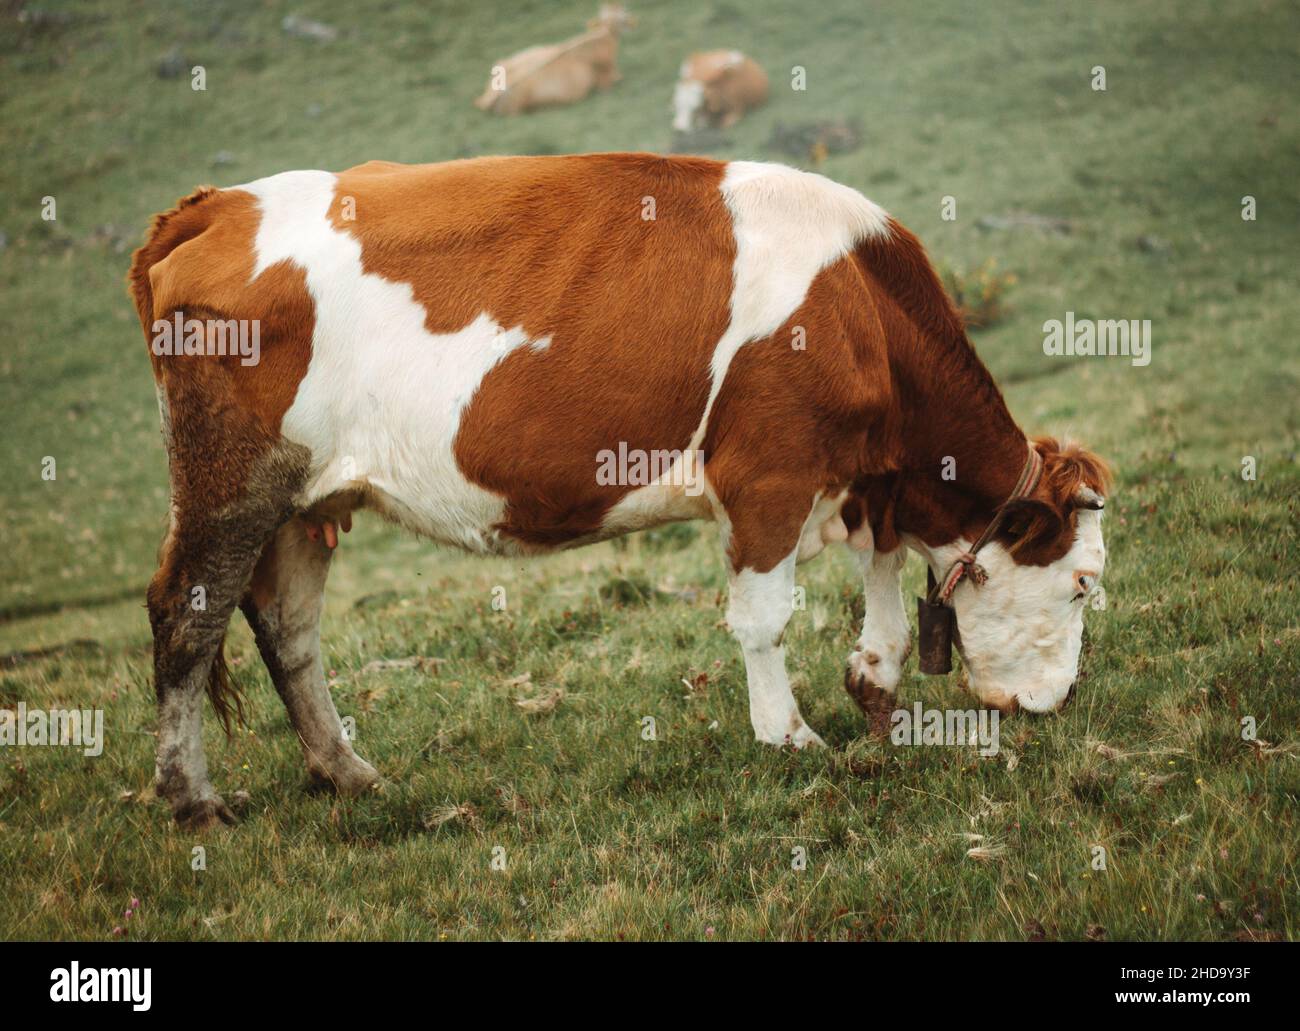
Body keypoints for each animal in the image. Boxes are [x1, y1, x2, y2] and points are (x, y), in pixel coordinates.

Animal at [129, 153, 1111, 828]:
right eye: (1081, 582)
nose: (1060, 701)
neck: (860, 301)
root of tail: (215, 206)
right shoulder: (769, 472)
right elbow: (764, 618)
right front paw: (788, 734)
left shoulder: (867, 479)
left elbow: (888, 587)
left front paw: (873, 686)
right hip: (232, 480)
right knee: (185, 616)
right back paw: (192, 799)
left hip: (306, 500)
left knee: (289, 629)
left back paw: (348, 772)